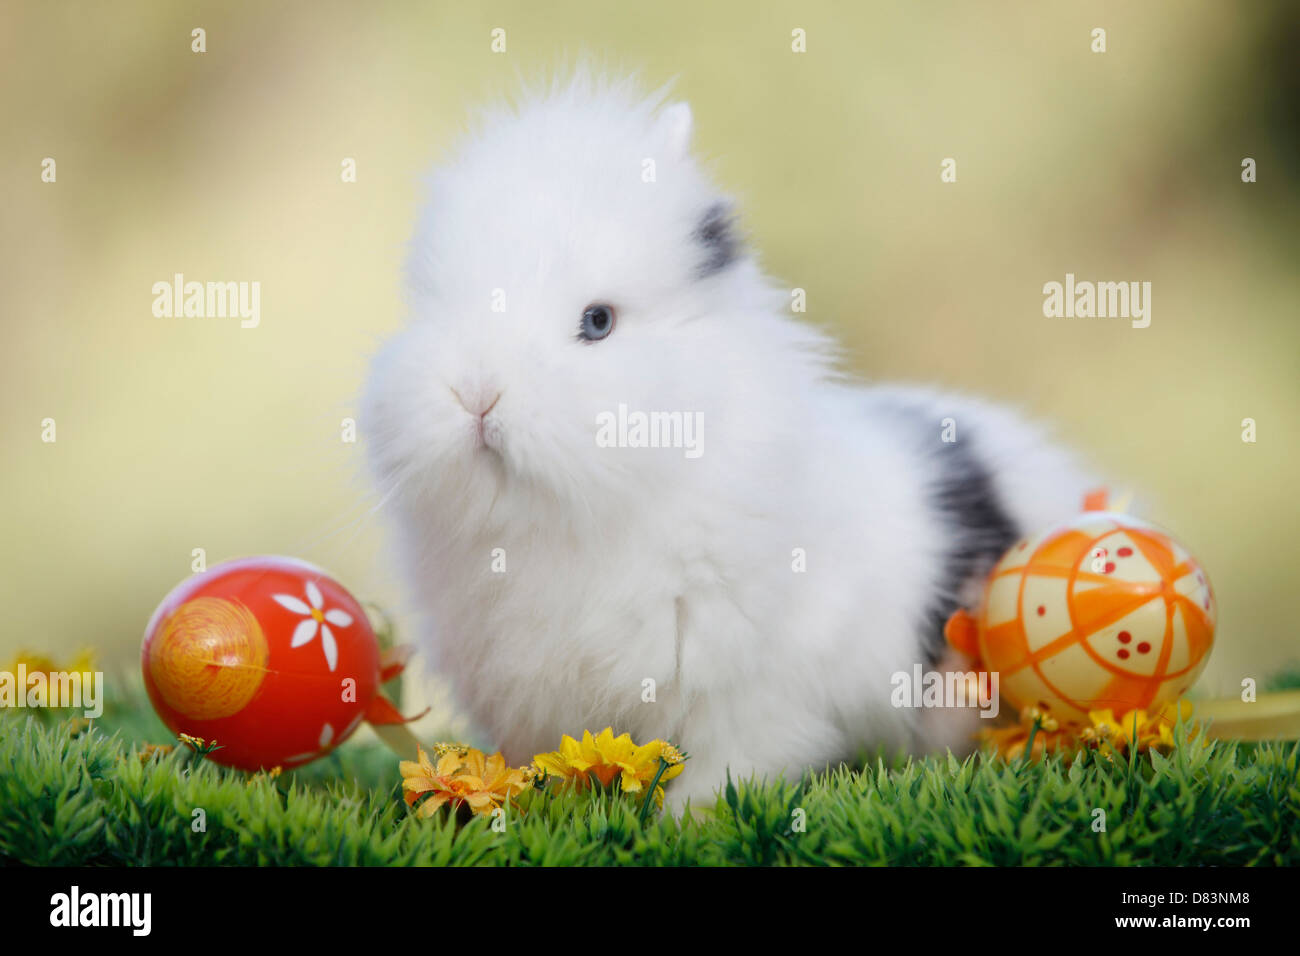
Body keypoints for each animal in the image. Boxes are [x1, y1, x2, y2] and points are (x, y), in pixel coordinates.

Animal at [361, 73, 1096, 812]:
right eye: (434, 304)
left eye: (597, 322)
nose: (476, 394)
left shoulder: (754, 693)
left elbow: (728, 768)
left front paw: (683, 820)